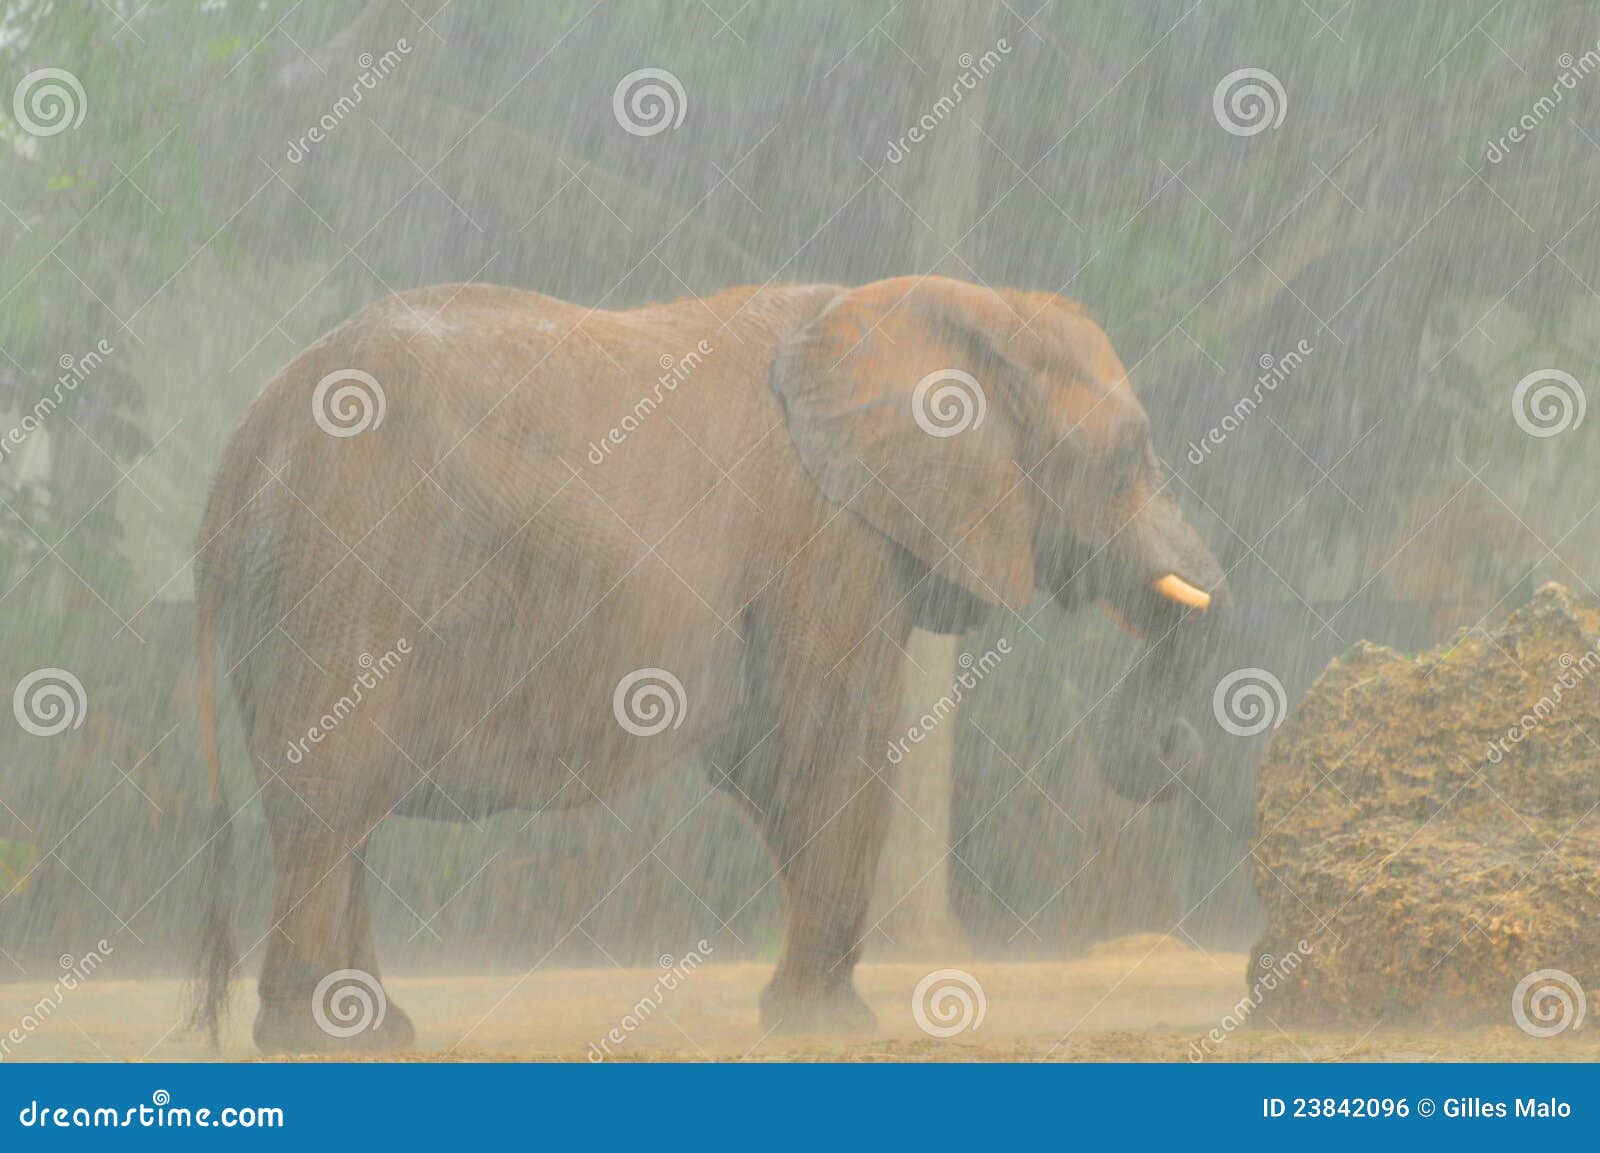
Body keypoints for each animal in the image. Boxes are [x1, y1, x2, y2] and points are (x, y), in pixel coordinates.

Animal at [190, 274, 1226, 1053]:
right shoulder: (824, 529)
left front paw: (805, 1013)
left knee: (344, 814)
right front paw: (831, 1025)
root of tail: (242, 443)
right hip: (344, 568)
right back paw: (311, 1041)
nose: (1181, 746)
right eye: (1127, 462)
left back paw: (379, 1032)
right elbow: (831, 739)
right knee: (330, 800)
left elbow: (766, 762)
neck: (952, 309)